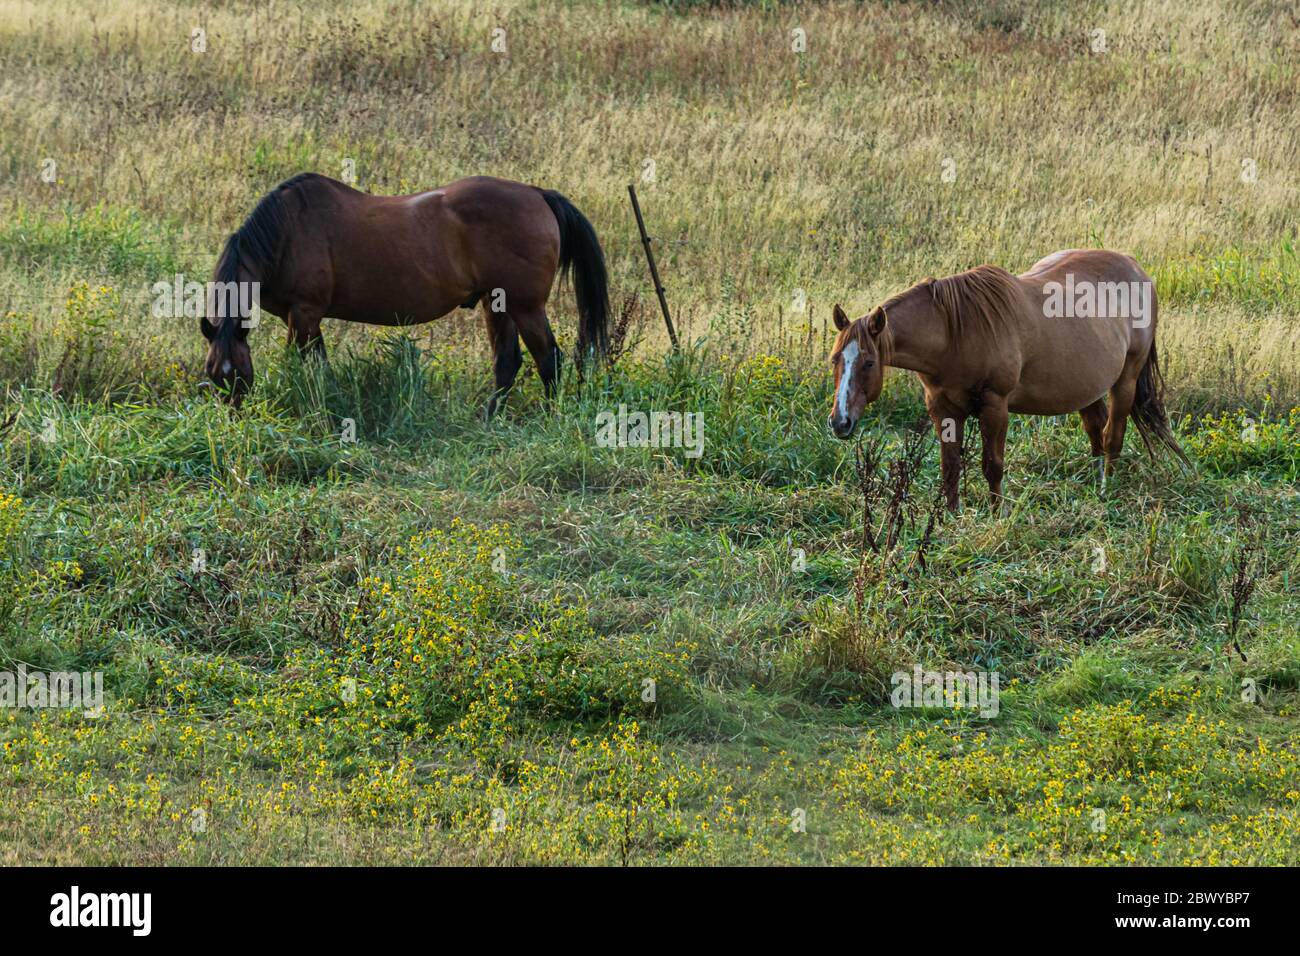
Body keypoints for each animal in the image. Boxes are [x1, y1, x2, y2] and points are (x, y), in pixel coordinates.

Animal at [200, 173, 609, 415]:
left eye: (240, 376)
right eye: (213, 375)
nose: (234, 418)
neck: (286, 231)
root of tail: (538, 195)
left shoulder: (303, 313)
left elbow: (306, 366)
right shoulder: (303, 317)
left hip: (526, 306)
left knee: (549, 358)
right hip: (498, 304)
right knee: (507, 362)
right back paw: (489, 417)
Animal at [827, 249, 1189, 512]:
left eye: (869, 362)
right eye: (834, 360)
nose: (839, 422)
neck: (954, 332)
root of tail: (1136, 268)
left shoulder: (995, 406)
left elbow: (992, 465)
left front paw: (996, 514)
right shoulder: (942, 408)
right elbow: (949, 466)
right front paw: (950, 517)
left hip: (1126, 380)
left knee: (1113, 436)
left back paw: (1106, 489)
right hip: (1088, 386)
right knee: (1096, 431)